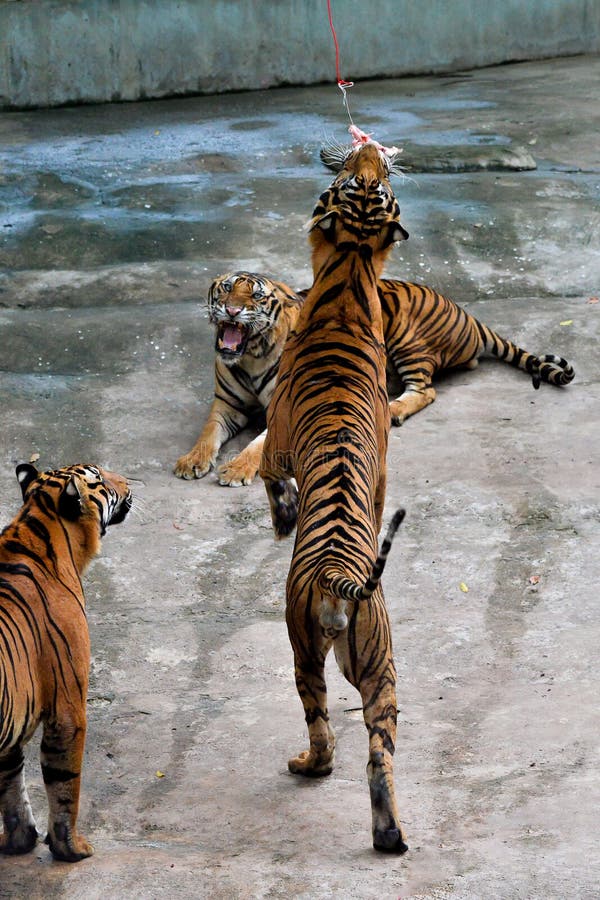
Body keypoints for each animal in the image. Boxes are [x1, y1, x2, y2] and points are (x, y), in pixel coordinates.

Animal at [0, 463, 132, 863]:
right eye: (100, 479)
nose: (128, 481)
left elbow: (11, 784)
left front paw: (18, 840)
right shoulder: (67, 706)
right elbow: (64, 784)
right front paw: (71, 848)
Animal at [173, 272, 303, 485]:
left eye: (257, 296)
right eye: (227, 287)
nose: (232, 311)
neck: (251, 358)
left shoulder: (279, 412)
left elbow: (258, 445)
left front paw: (236, 470)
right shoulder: (227, 405)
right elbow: (208, 433)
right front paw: (192, 461)